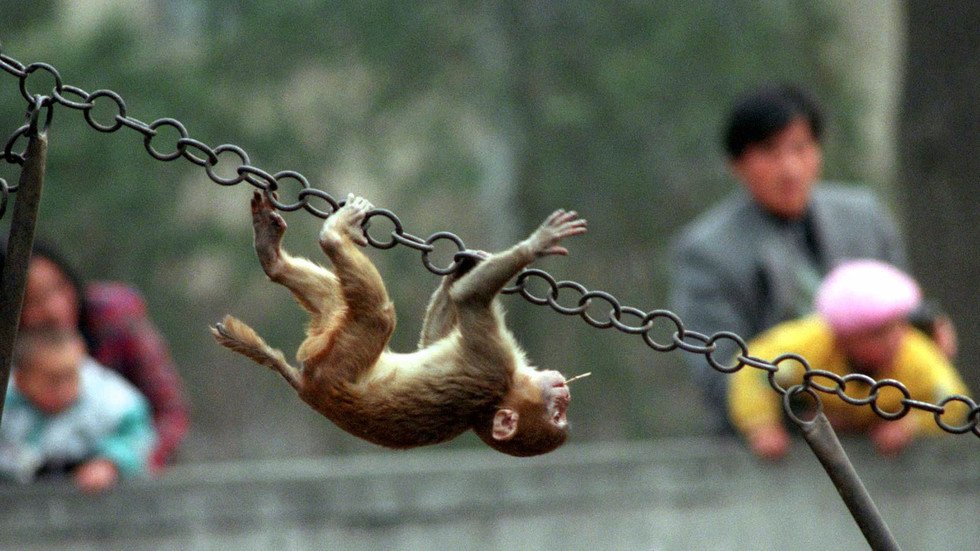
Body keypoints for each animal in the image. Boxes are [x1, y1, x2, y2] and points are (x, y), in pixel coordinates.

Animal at [211, 191, 588, 456]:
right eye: (559, 411)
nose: (565, 391)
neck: (498, 395)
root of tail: (308, 388)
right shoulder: (496, 364)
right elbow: (437, 334)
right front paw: (466, 265)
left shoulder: (493, 362)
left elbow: (469, 299)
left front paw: (534, 246)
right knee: (342, 303)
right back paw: (273, 256)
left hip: (335, 363)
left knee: (379, 315)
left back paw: (330, 237)